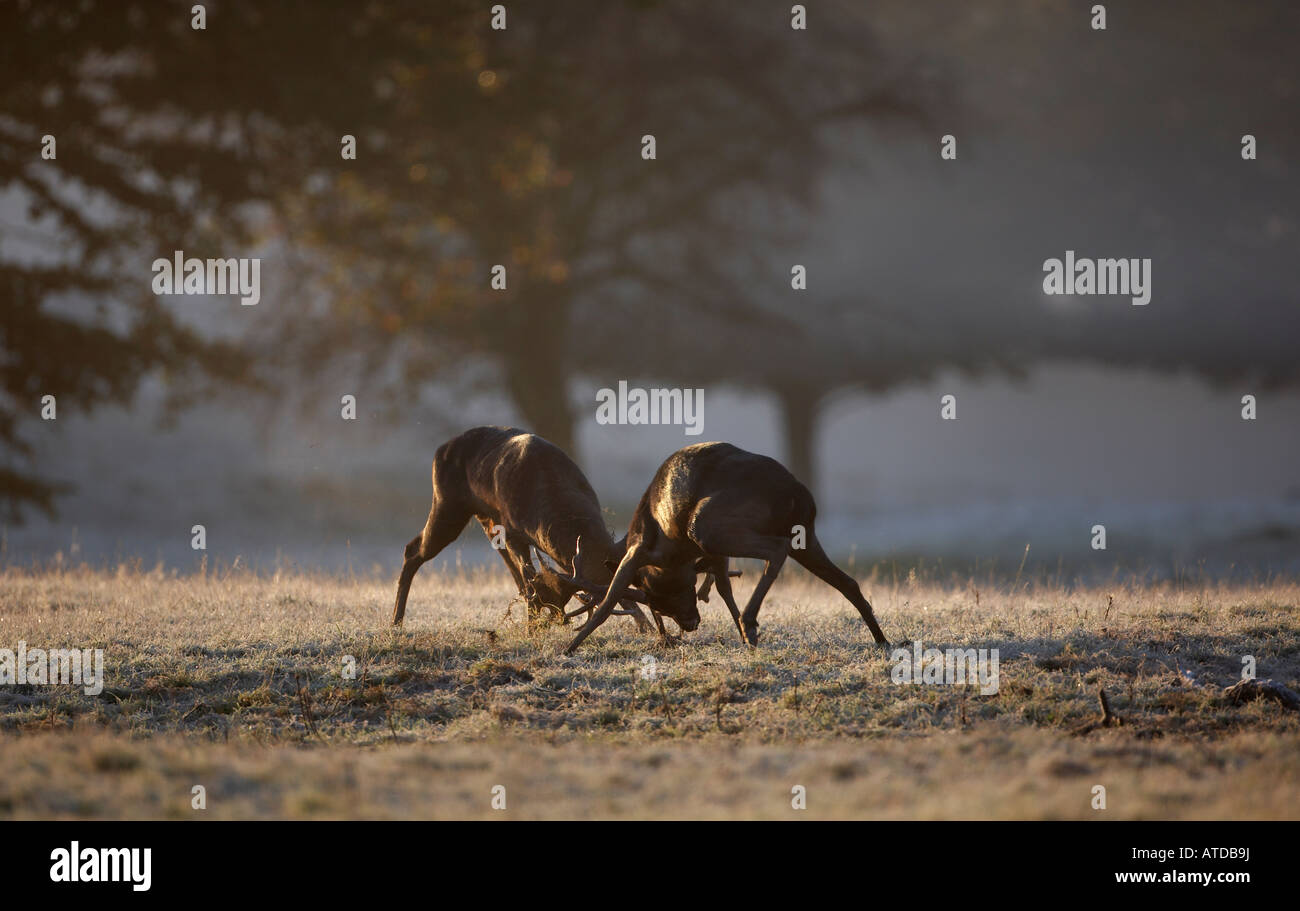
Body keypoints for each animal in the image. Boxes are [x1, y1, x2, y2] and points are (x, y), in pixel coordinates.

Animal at [392, 426, 682, 637]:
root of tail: (439, 450)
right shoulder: (513, 530)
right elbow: (529, 575)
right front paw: (532, 627)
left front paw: (645, 626)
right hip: (447, 503)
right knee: (412, 549)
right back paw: (396, 621)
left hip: (486, 518)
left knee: (503, 559)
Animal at [557, 441, 889, 654]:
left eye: (658, 600)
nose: (691, 623)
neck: (673, 555)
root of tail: (797, 495)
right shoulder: (712, 555)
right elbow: (723, 587)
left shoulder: (640, 552)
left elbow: (608, 600)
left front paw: (570, 647)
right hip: (805, 536)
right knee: (847, 581)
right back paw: (882, 640)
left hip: (706, 522)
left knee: (777, 548)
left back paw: (750, 622)